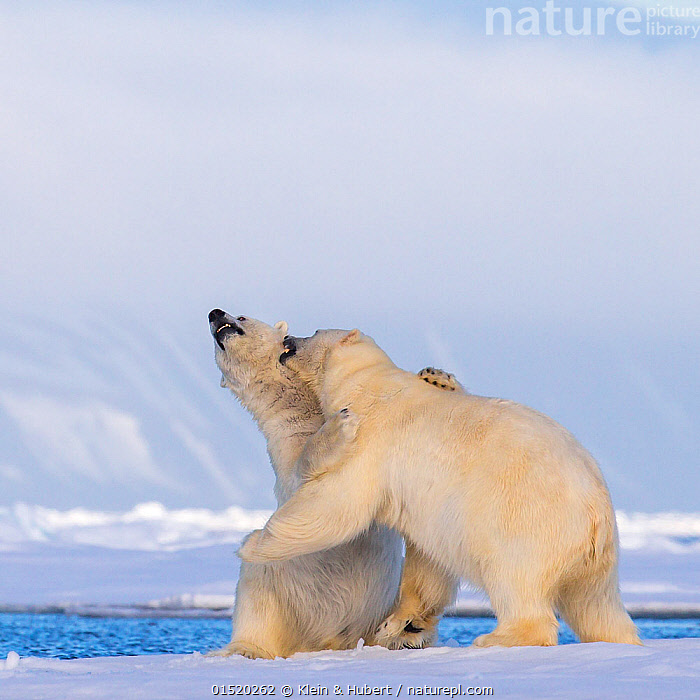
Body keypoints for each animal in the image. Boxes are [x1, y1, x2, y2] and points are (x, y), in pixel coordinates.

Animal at [207, 310, 461, 657]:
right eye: (215, 348)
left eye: (242, 316)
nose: (215, 314)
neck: (303, 405)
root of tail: (327, 639)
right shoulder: (284, 446)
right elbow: (302, 477)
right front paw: (341, 424)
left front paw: (438, 378)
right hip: (276, 585)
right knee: (254, 594)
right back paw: (245, 648)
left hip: (381, 600)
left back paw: (409, 632)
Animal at [239, 328, 641, 648]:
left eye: (315, 330)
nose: (289, 338)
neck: (367, 383)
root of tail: (596, 511)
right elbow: (427, 562)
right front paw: (396, 624)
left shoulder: (371, 438)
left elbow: (336, 506)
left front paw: (252, 542)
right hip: (597, 561)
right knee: (595, 606)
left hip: (527, 522)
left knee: (516, 580)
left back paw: (494, 638)